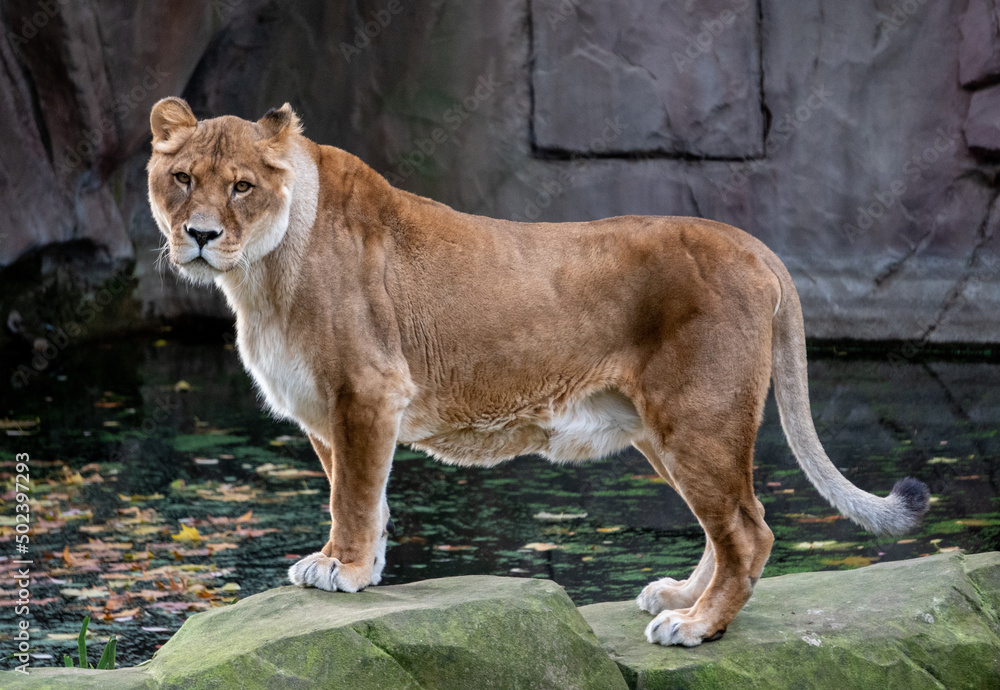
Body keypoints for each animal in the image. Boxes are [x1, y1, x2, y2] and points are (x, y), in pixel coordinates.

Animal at [147, 98, 930, 646]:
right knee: (731, 524)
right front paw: (359, 567)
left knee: (749, 530)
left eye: (241, 187)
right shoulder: (329, 412)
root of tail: (751, 244)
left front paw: (341, 569)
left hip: (698, 418)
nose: (200, 235)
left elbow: (354, 496)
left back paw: (696, 627)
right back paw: (681, 597)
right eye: (181, 179)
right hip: (662, 432)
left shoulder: (367, 391)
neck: (260, 275)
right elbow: (359, 492)